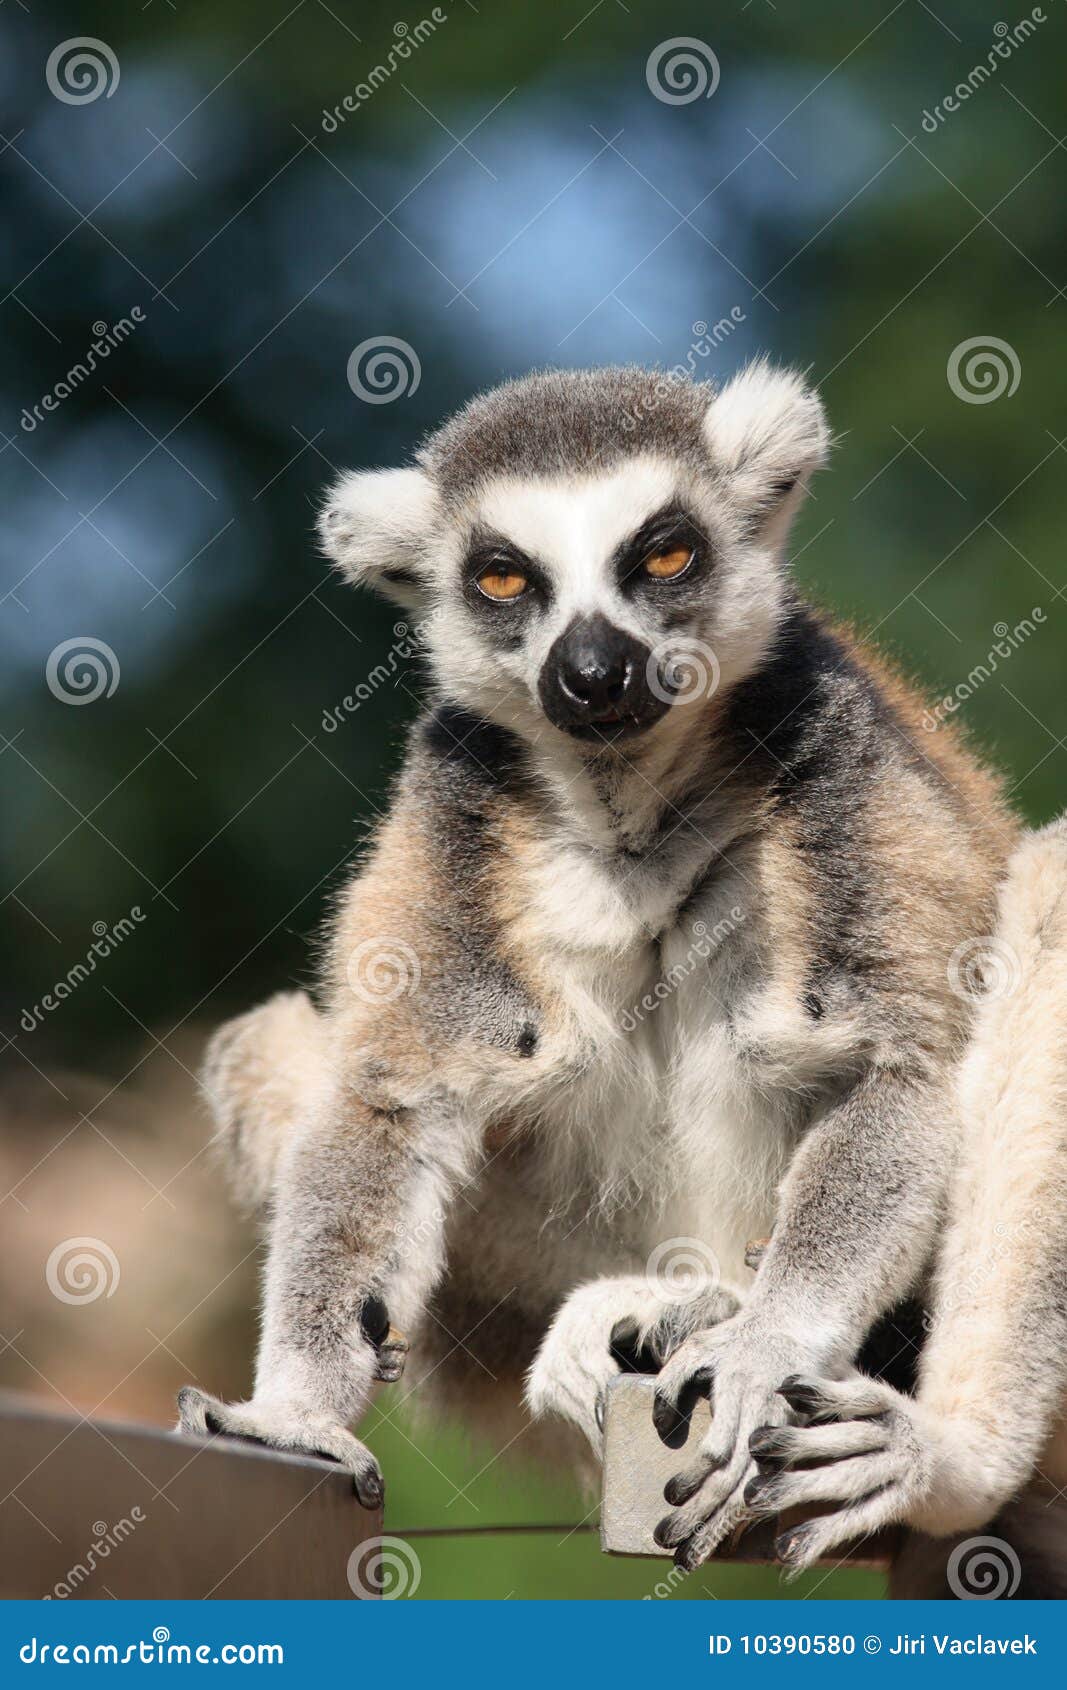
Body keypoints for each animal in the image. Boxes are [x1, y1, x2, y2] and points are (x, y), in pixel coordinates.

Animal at [177, 361, 1037, 1579]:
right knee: (271, 1051)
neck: (626, 803)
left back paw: (891, 1421)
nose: (590, 671)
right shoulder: (453, 810)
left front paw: (762, 1342)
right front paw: (294, 1413)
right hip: (481, 1343)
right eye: (501, 577)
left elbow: (894, 1071)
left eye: (663, 556)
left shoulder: (843, 764)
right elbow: (389, 1102)